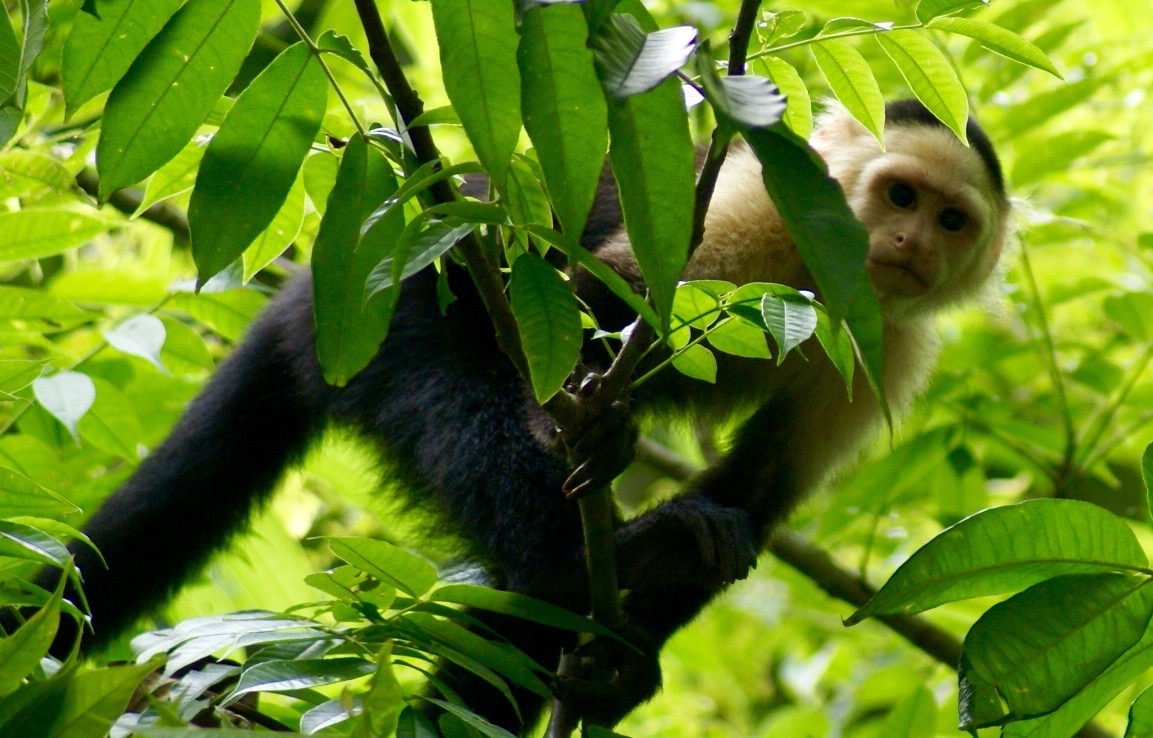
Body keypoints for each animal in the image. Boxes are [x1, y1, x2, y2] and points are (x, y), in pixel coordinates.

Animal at [6, 99, 1009, 733]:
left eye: (951, 220)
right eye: (898, 195)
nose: (911, 242)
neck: (824, 272)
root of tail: (306, 299)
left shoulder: (888, 344)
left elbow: (758, 494)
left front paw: (622, 662)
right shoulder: (756, 218)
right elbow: (569, 311)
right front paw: (597, 434)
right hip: (388, 318)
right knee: (475, 413)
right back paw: (595, 553)